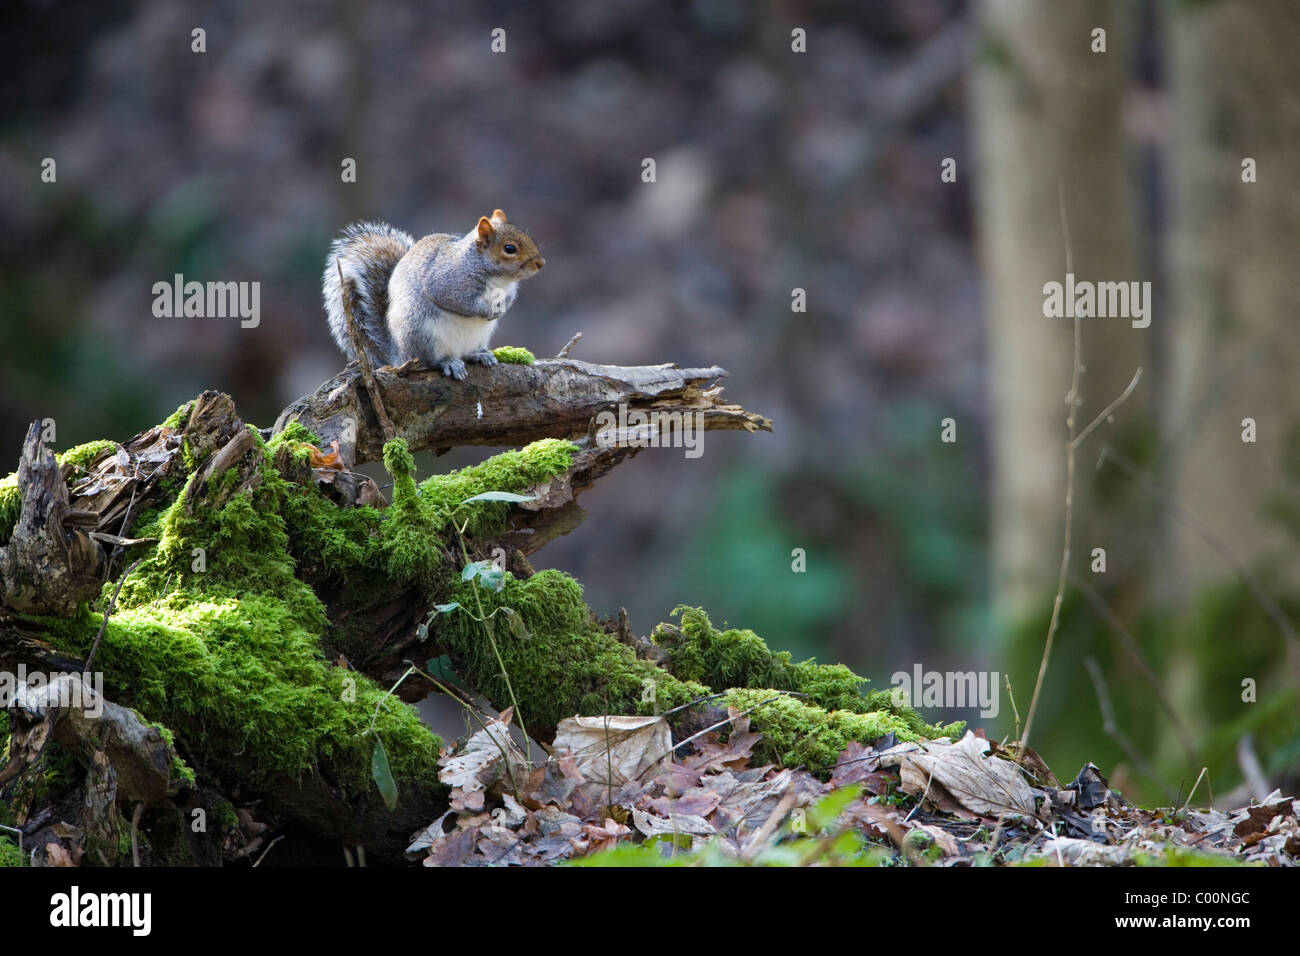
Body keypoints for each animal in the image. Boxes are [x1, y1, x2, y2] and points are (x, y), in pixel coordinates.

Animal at [322, 209, 544, 380]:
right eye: (509, 248)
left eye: (528, 237)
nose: (540, 263)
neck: (499, 279)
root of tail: (398, 355)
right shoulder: (447, 283)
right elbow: (460, 302)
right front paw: (487, 311)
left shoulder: (508, 290)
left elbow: (508, 299)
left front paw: (502, 309)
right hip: (422, 335)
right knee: (431, 361)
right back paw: (449, 362)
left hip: (478, 337)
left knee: (467, 353)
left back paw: (480, 355)